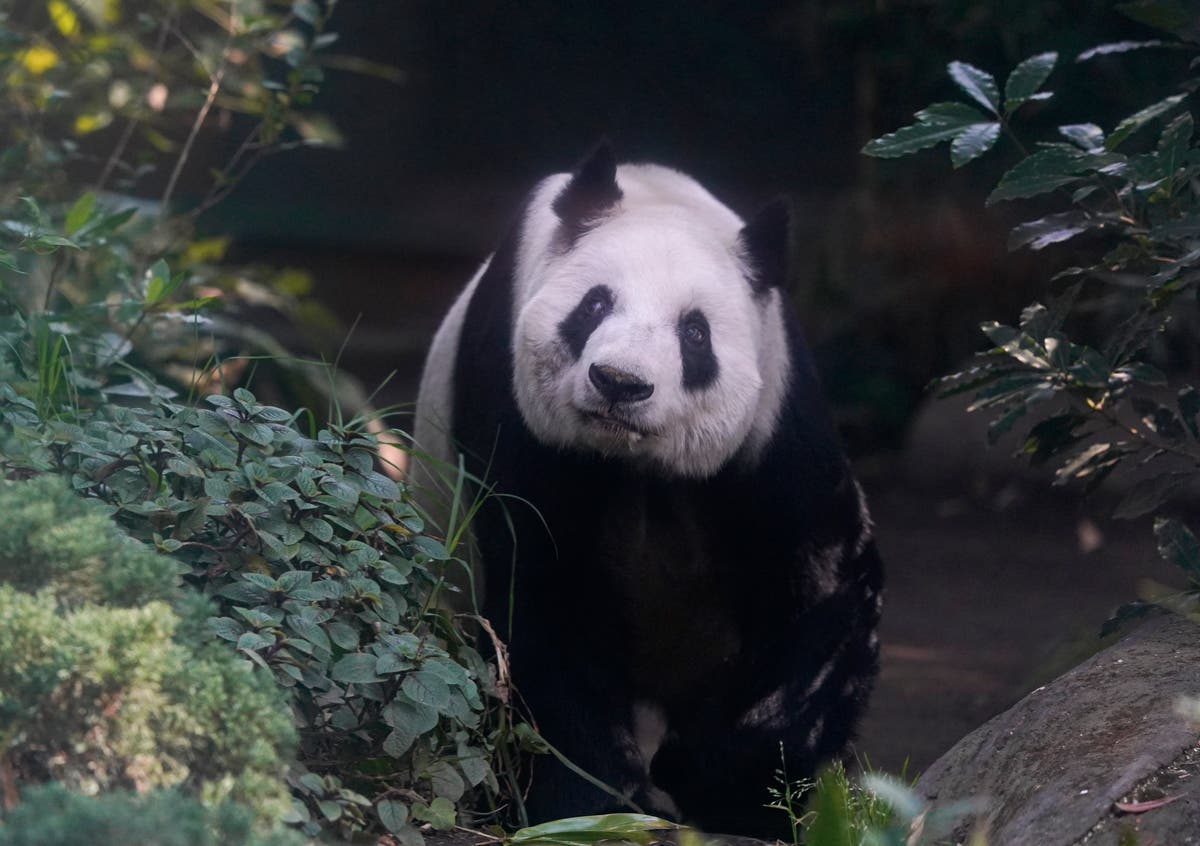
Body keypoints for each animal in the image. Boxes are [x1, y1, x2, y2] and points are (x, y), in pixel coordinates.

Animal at [412, 143, 883, 838]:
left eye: (695, 332)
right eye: (594, 306)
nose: (620, 382)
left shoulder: (775, 419)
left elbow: (824, 587)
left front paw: (725, 789)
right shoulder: (514, 409)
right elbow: (545, 599)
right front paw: (601, 804)